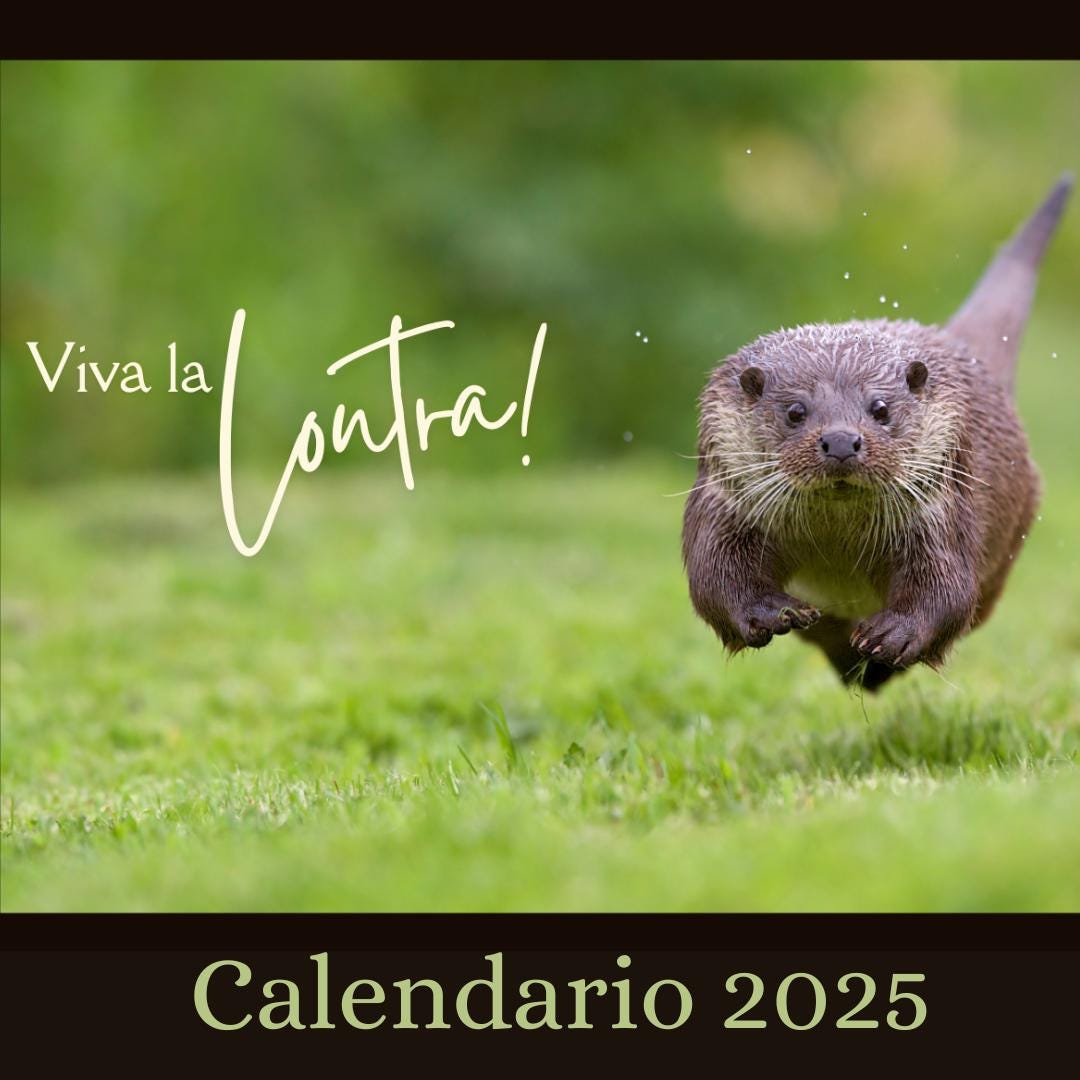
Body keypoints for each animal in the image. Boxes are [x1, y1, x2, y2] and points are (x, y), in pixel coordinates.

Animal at [682, 175, 1072, 690]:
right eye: (795, 411)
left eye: (880, 408)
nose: (841, 441)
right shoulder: (724, 500)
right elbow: (714, 576)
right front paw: (770, 612)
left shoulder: (940, 511)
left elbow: (945, 587)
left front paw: (893, 637)